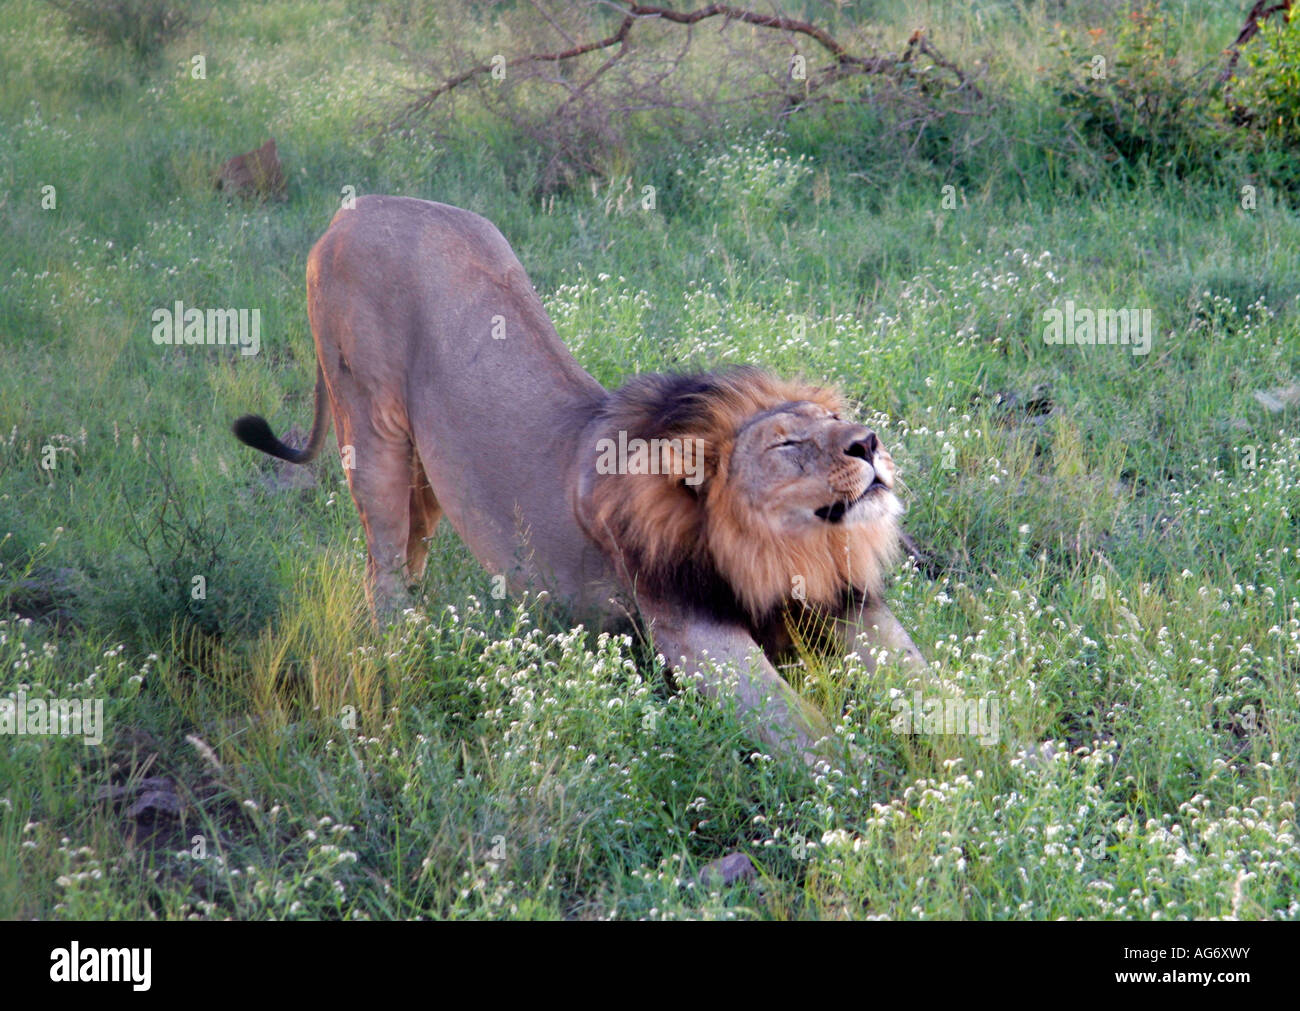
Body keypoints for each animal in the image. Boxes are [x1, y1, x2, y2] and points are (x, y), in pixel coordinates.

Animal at [233, 195, 926, 765]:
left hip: (425, 472)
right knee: (380, 566)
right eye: (787, 444)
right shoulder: (695, 635)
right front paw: (883, 794)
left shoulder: (850, 603)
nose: (868, 442)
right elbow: (811, 734)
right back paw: (407, 651)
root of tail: (356, 207)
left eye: (833, 419)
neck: (787, 551)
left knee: (409, 551)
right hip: (371, 426)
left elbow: (926, 678)